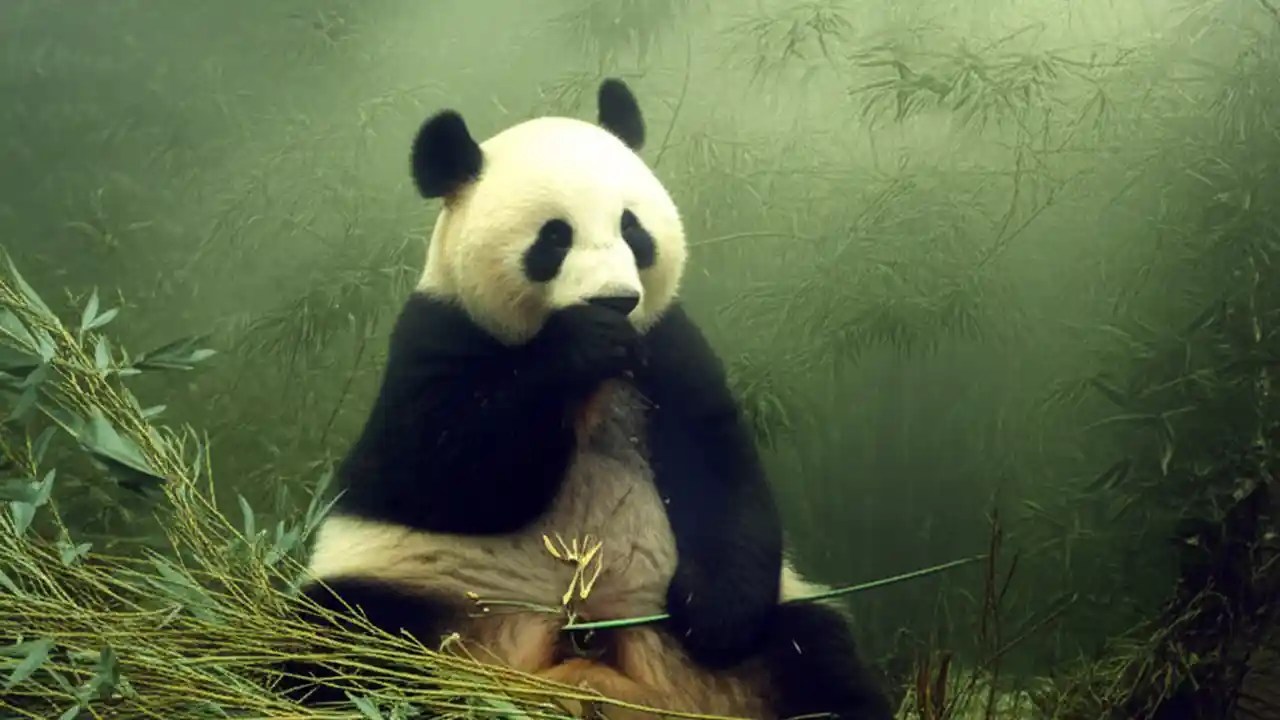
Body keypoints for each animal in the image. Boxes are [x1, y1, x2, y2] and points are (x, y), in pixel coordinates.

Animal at [280, 78, 893, 720]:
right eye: (554, 238)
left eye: (633, 229)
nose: (615, 300)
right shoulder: (438, 334)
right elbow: (445, 473)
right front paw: (579, 345)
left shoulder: (667, 343)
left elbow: (717, 463)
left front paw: (712, 617)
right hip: (416, 597)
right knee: (332, 649)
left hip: (772, 643)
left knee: (819, 662)